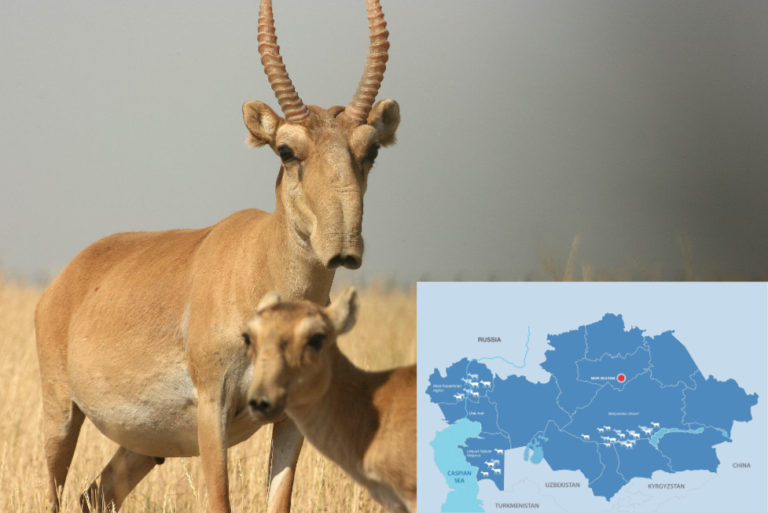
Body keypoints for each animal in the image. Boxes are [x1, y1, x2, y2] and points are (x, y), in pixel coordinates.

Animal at [34, 1, 400, 512]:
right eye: (286, 150)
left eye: (371, 151)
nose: (343, 246)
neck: (258, 262)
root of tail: (65, 280)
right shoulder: (213, 409)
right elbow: (220, 499)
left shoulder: (290, 418)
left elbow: (279, 500)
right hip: (61, 416)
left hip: (141, 448)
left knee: (94, 495)